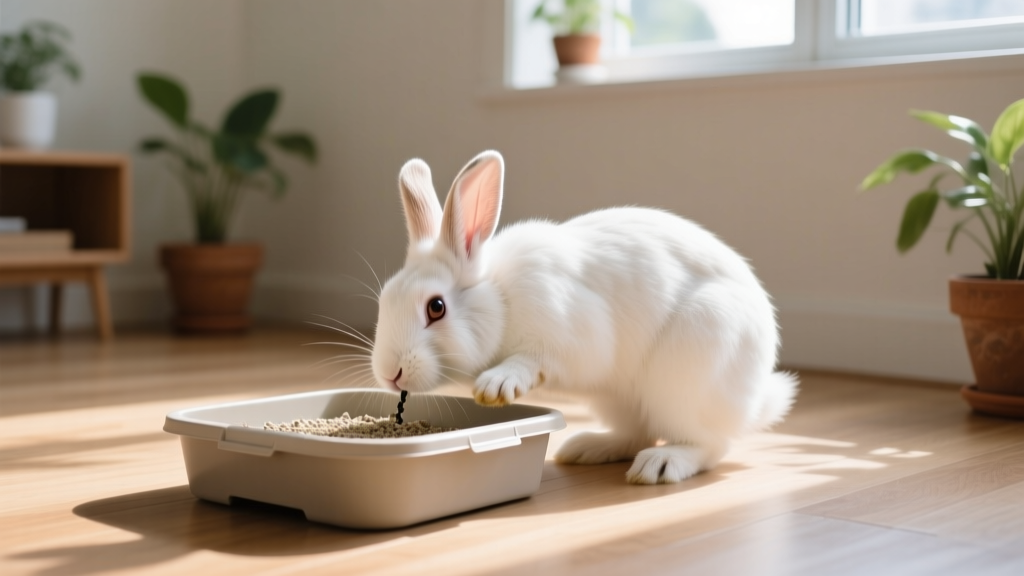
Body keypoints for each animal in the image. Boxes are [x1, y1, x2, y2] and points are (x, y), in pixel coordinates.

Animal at [370, 150, 798, 484]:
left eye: (436, 307)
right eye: (384, 298)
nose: (390, 374)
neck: (502, 299)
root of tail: (754, 398)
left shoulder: (571, 336)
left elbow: (534, 359)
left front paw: (497, 384)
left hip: (687, 378)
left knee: (709, 444)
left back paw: (661, 464)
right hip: (621, 400)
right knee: (636, 434)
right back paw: (587, 447)